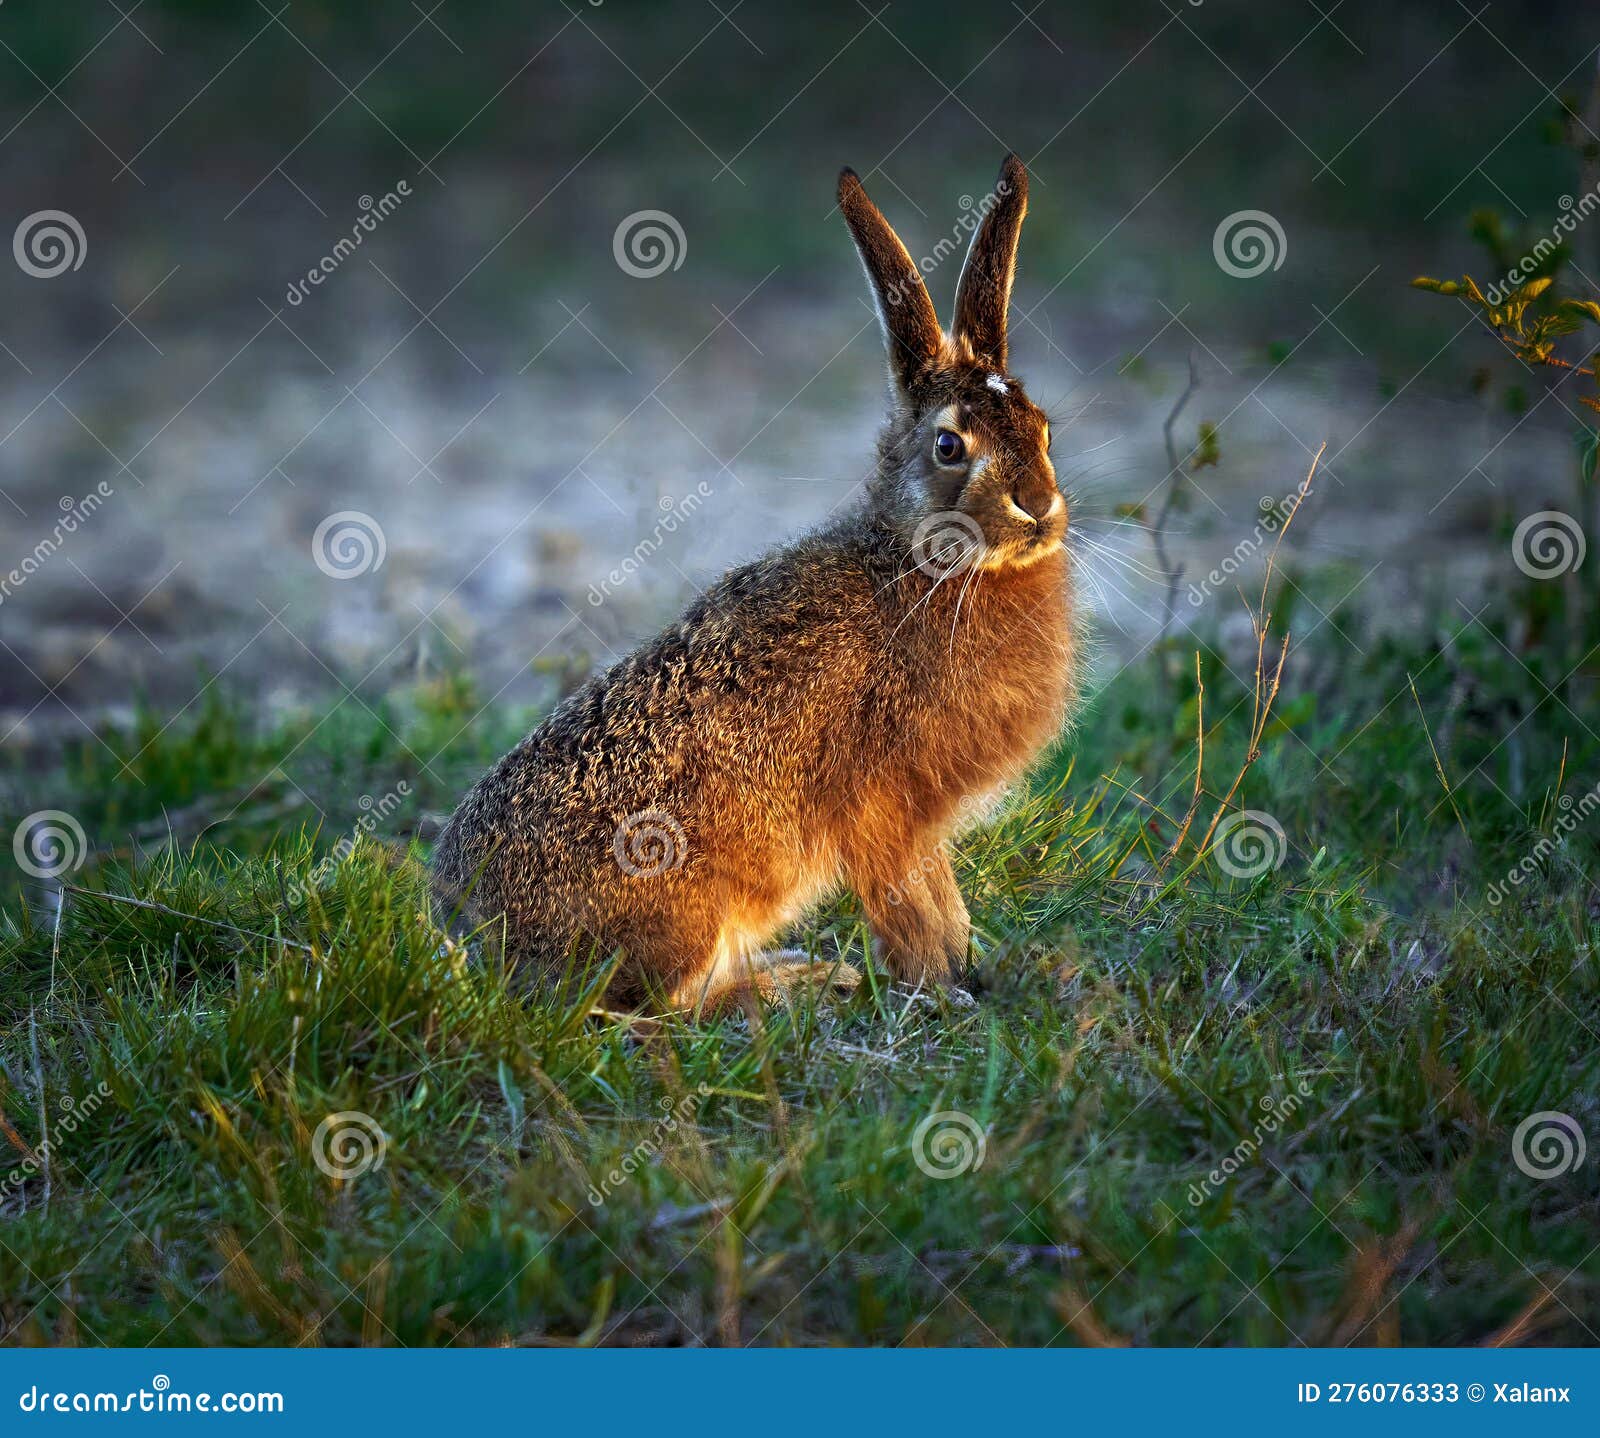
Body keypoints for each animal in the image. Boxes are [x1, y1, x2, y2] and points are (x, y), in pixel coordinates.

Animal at [432, 153, 1078, 1013]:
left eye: (1043, 430)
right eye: (950, 445)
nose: (1038, 506)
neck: (921, 560)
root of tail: (476, 938)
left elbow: (944, 903)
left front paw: (979, 968)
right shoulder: (886, 814)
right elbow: (914, 911)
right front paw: (947, 989)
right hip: (681, 900)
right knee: (657, 1009)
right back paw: (796, 983)